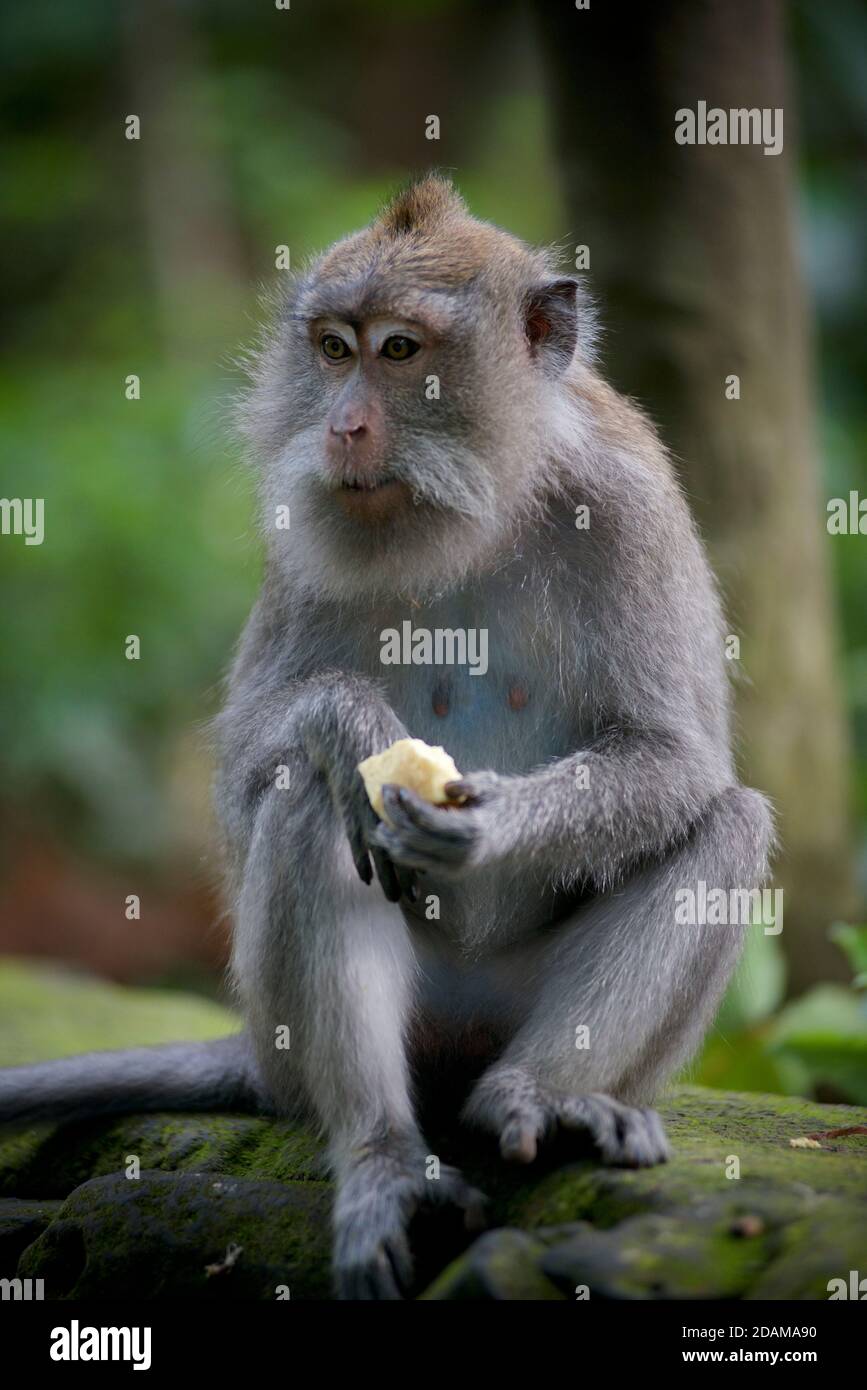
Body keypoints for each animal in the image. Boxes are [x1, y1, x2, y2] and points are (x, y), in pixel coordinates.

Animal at [0, 176, 772, 1300]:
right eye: (331, 348)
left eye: (400, 351)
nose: (344, 425)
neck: (484, 501)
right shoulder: (303, 527)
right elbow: (247, 771)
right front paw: (347, 719)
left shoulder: (628, 507)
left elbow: (680, 757)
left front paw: (490, 828)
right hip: (325, 1034)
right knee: (310, 799)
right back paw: (382, 1156)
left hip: (515, 1014)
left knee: (729, 821)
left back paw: (535, 1098)